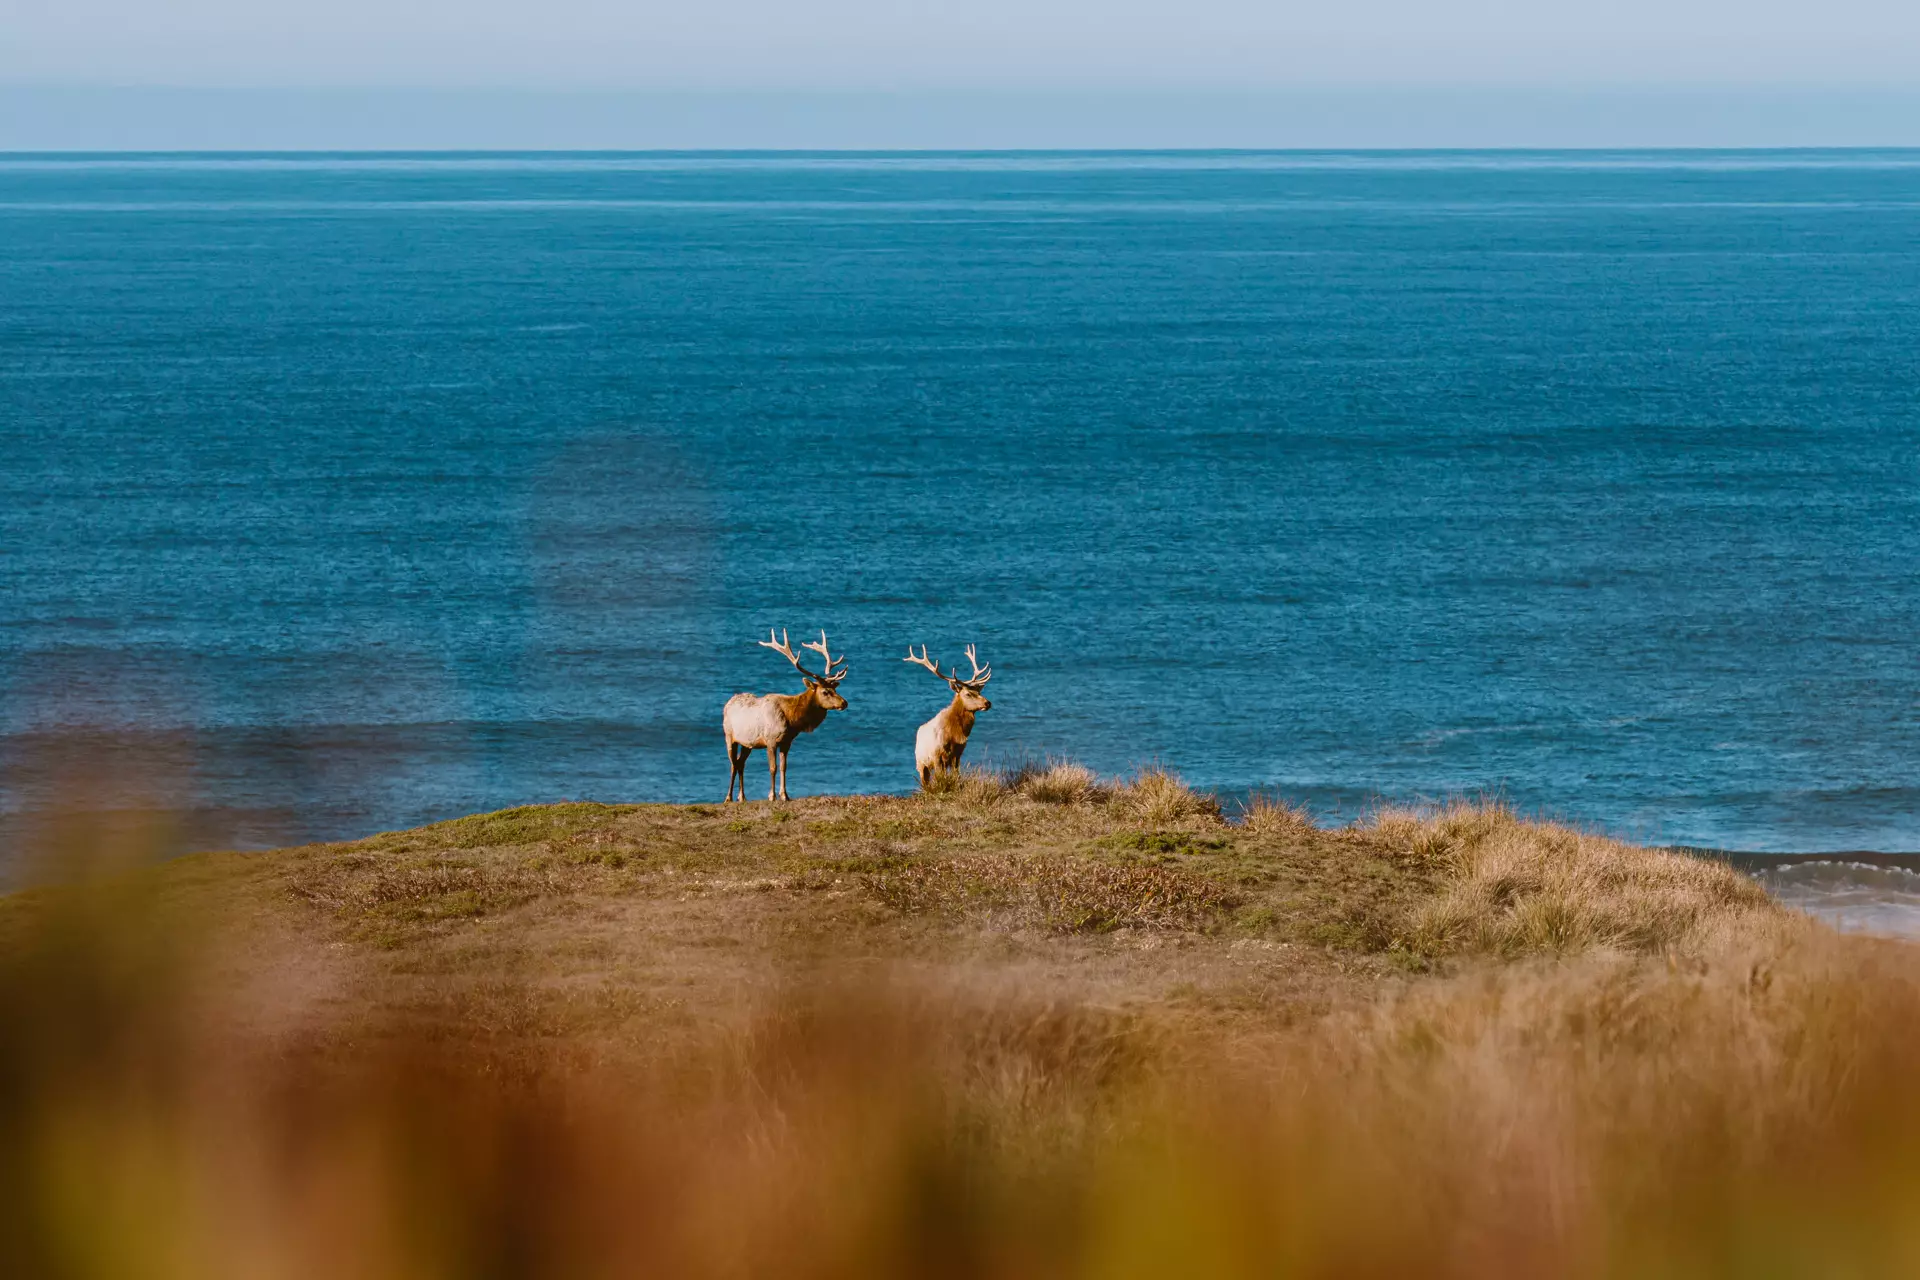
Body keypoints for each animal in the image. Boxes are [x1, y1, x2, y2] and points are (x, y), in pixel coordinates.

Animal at [721, 629, 852, 802]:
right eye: (825, 692)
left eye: (835, 689)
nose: (844, 703)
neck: (792, 720)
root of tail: (728, 703)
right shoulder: (770, 740)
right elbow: (773, 767)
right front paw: (772, 796)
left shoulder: (787, 742)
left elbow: (784, 767)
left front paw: (785, 795)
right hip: (729, 736)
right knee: (733, 764)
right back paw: (728, 797)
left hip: (747, 743)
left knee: (740, 763)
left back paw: (742, 797)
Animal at [898, 644, 990, 786]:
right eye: (968, 693)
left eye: (979, 692)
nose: (988, 703)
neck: (954, 733)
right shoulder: (936, 755)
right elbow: (940, 778)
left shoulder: (957, 754)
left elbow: (956, 776)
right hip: (921, 763)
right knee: (925, 782)